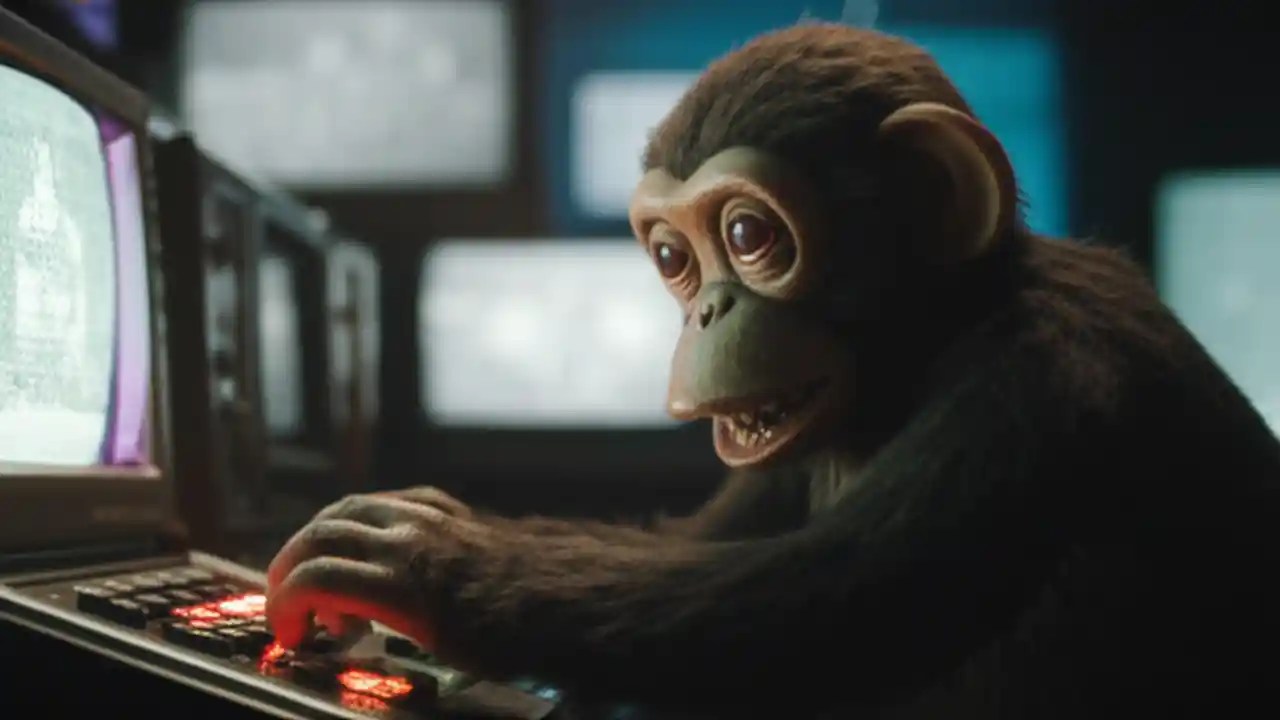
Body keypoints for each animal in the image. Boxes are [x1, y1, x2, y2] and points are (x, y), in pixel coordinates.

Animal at [264, 24, 1280, 718]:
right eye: (672, 257)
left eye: (751, 236)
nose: (708, 309)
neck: (935, 339)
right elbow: (695, 543)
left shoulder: (1034, 393)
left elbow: (813, 613)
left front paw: (432, 561)